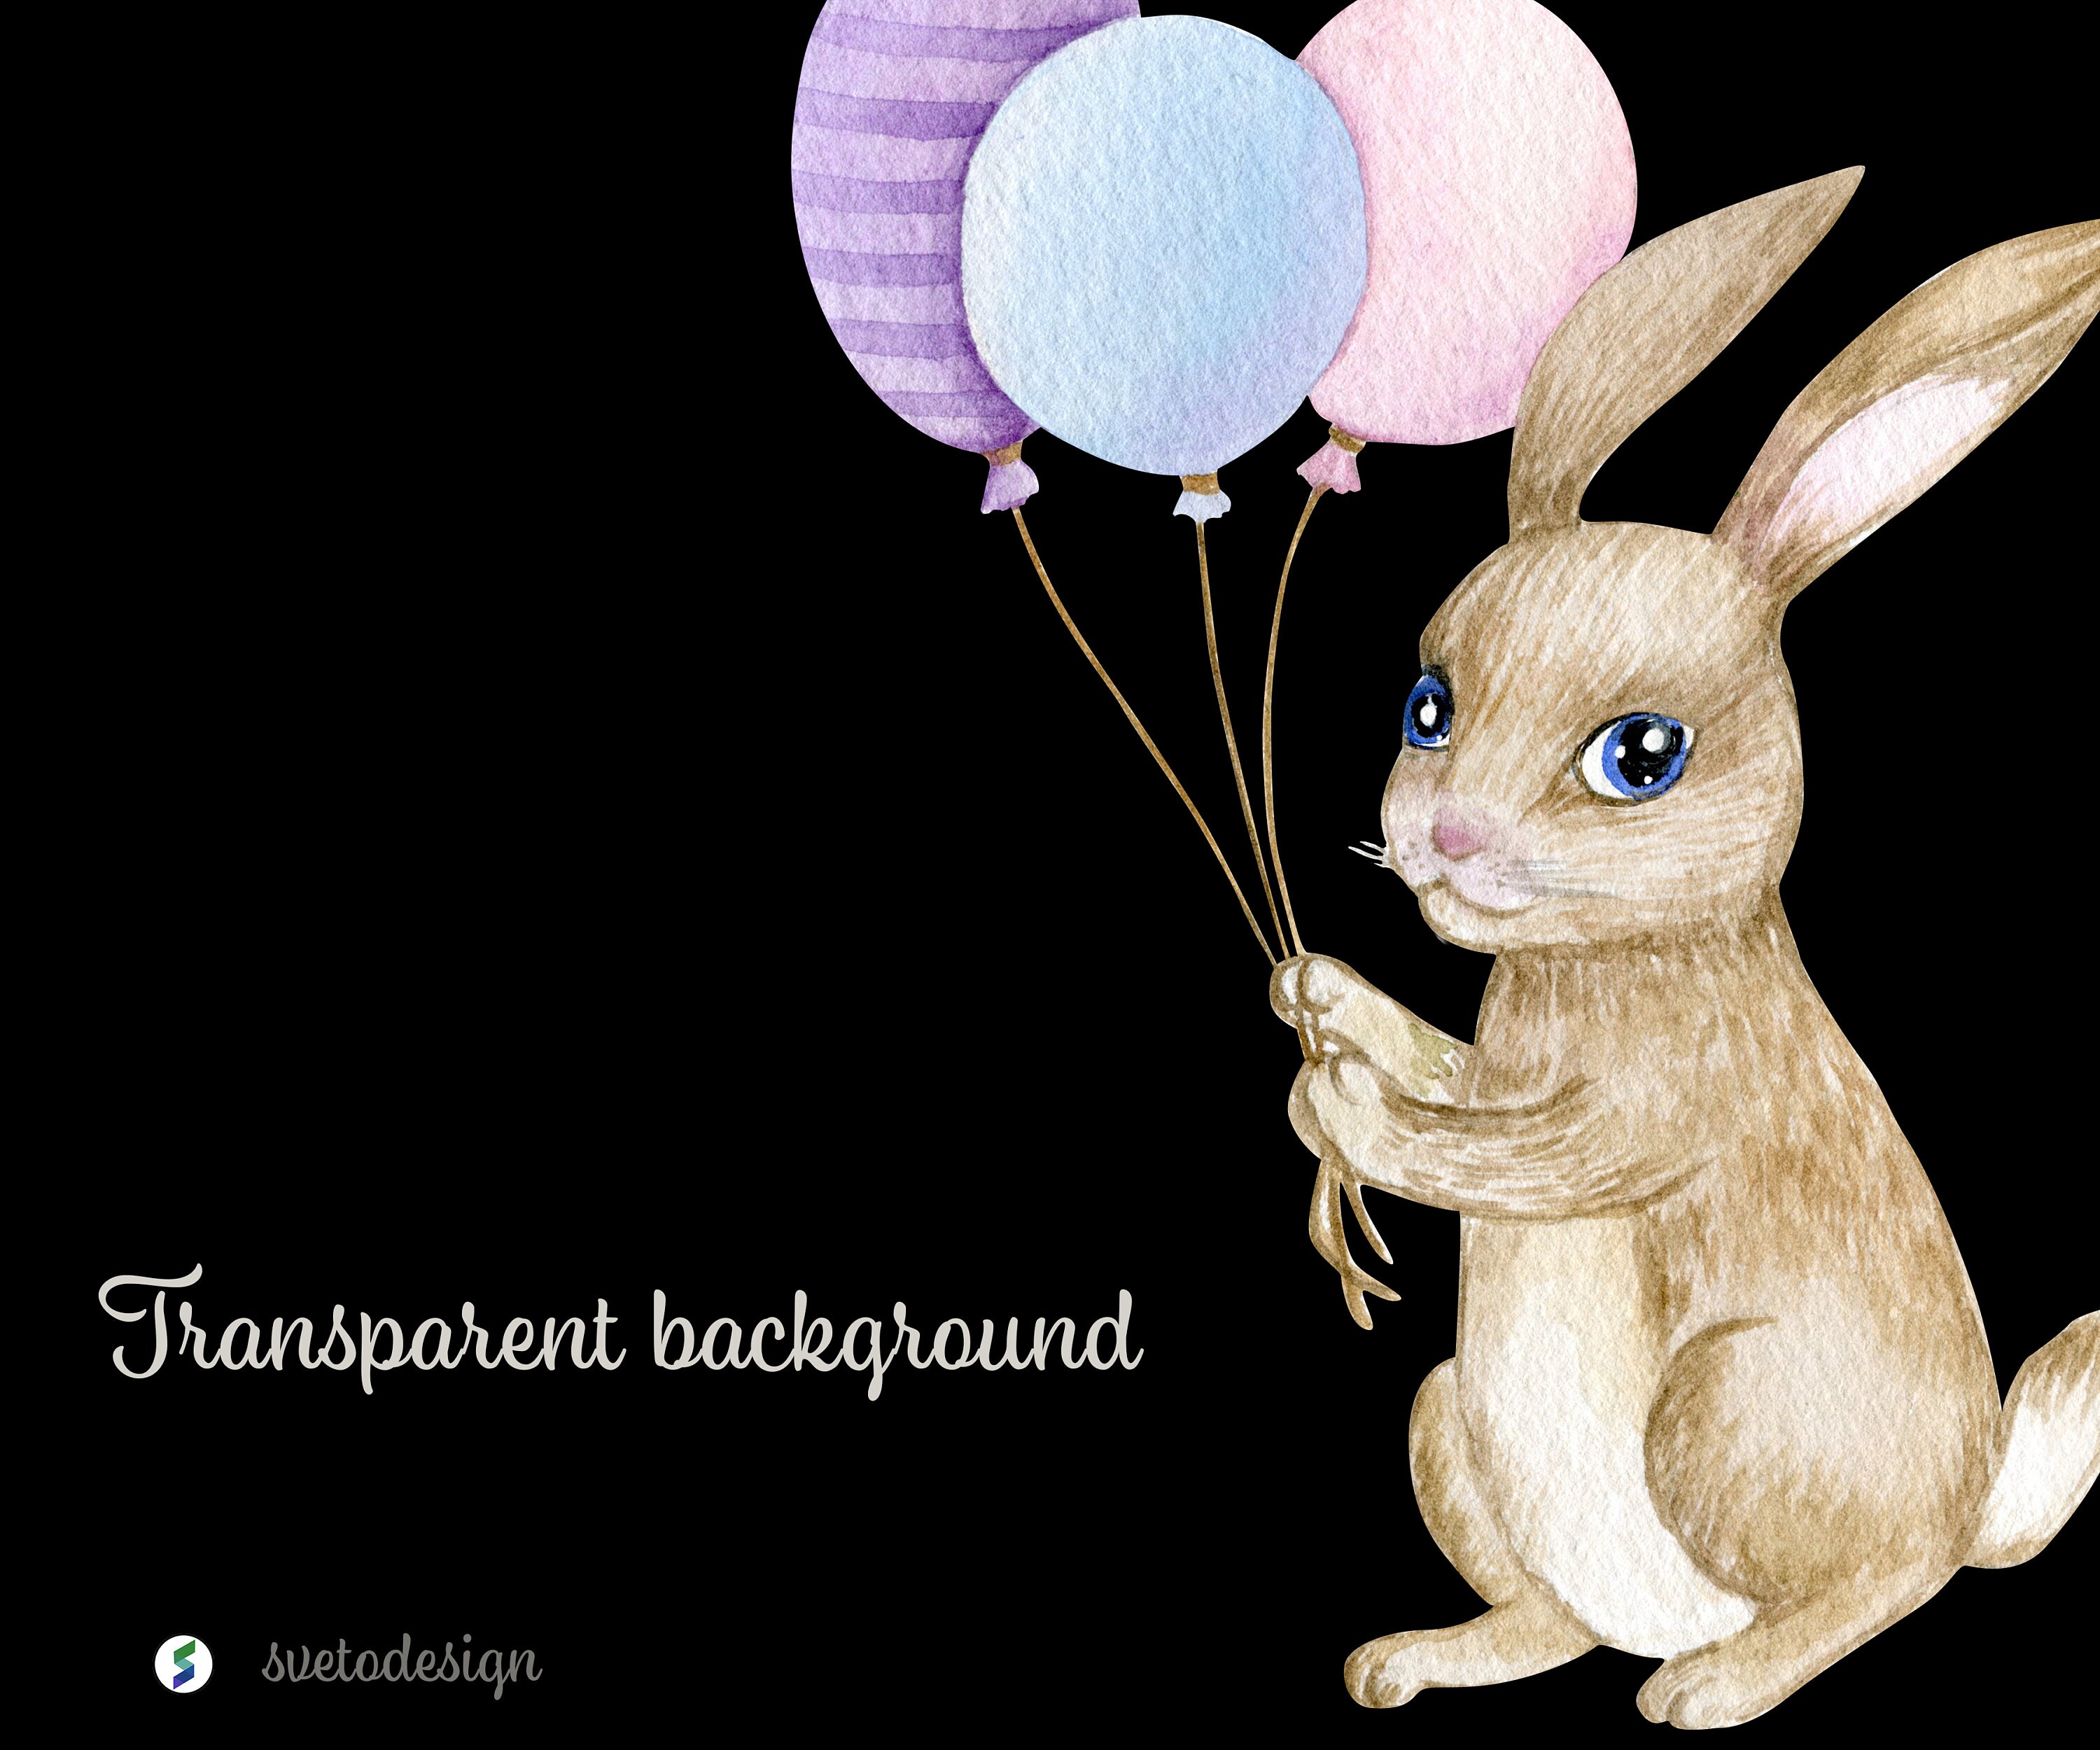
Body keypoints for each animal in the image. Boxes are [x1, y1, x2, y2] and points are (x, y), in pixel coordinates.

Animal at [1270, 167, 2099, 1729]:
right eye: (1427, 705)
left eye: (1642, 755)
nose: (1446, 840)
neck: (1617, 956)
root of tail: (1977, 1501)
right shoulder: (1506, 1061)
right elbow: (1451, 1069)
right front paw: (1319, 1000)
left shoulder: (1658, 1111)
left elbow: (1507, 1154)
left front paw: (1341, 1102)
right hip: (1445, 1413)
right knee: (1554, 1615)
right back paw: (1413, 1661)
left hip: (1731, 1414)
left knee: (1882, 1583)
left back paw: (1713, 1688)